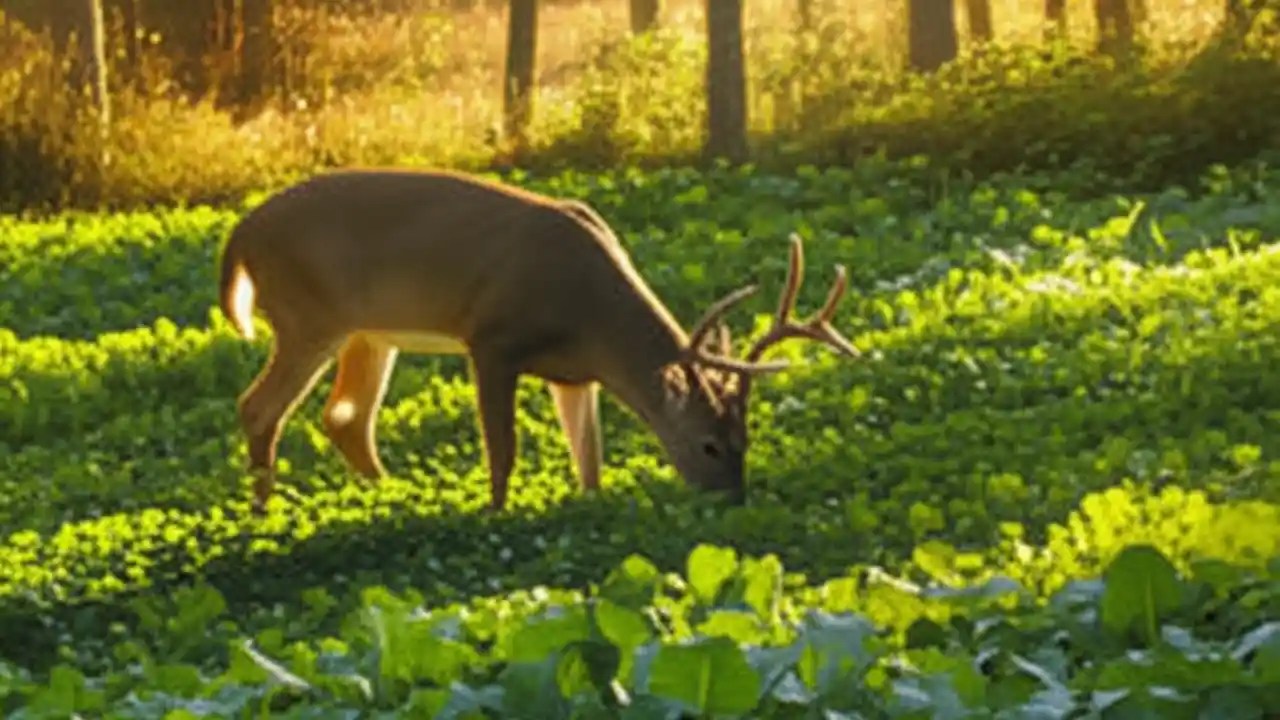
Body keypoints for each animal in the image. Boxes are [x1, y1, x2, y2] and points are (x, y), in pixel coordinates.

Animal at [216, 168, 861, 514]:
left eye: (745, 439)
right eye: (707, 444)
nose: (732, 500)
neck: (588, 312)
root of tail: (241, 234)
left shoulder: (575, 373)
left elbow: (589, 454)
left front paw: (590, 502)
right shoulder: (492, 338)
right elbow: (504, 448)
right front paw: (495, 512)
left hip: (369, 331)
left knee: (345, 418)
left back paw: (390, 496)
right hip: (308, 315)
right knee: (259, 407)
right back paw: (264, 512)